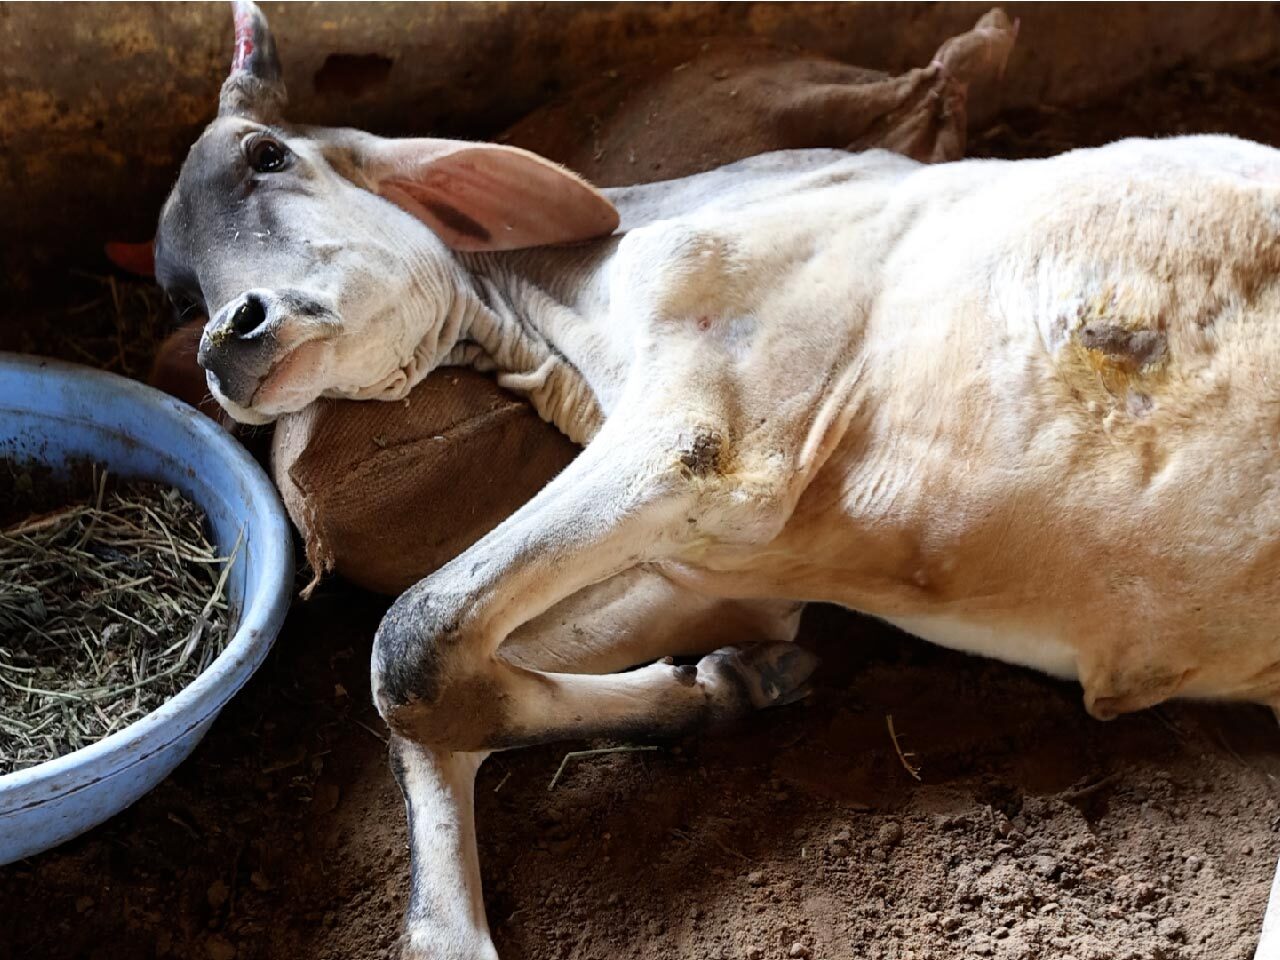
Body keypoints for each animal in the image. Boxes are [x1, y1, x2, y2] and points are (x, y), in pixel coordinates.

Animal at [157, 4, 1280, 958]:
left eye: (266, 156)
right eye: (175, 284)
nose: (229, 338)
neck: (568, 320)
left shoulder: (702, 431)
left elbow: (408, 643)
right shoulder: (723, 572)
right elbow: (433, 713)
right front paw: (730, 685)